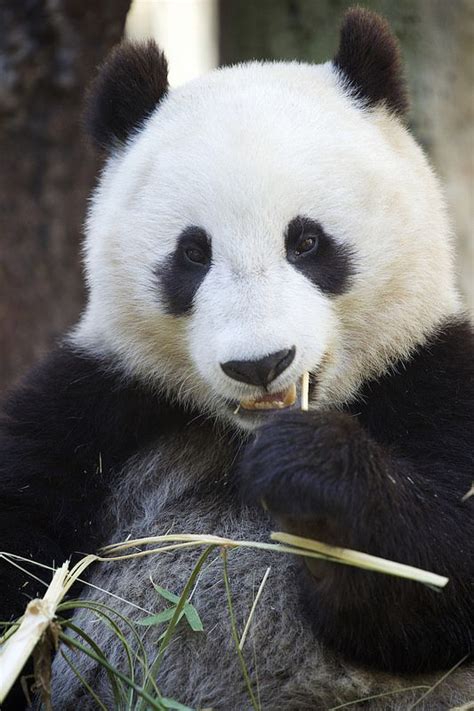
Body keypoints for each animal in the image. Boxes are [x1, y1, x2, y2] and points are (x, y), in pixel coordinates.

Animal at [1, 7, 473, 710]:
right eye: (193, 253)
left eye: (307, 242)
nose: (259, 364)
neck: (237, 434)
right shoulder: (100, 402)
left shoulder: (430, 377)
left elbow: (440, 574)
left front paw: (308, 468)